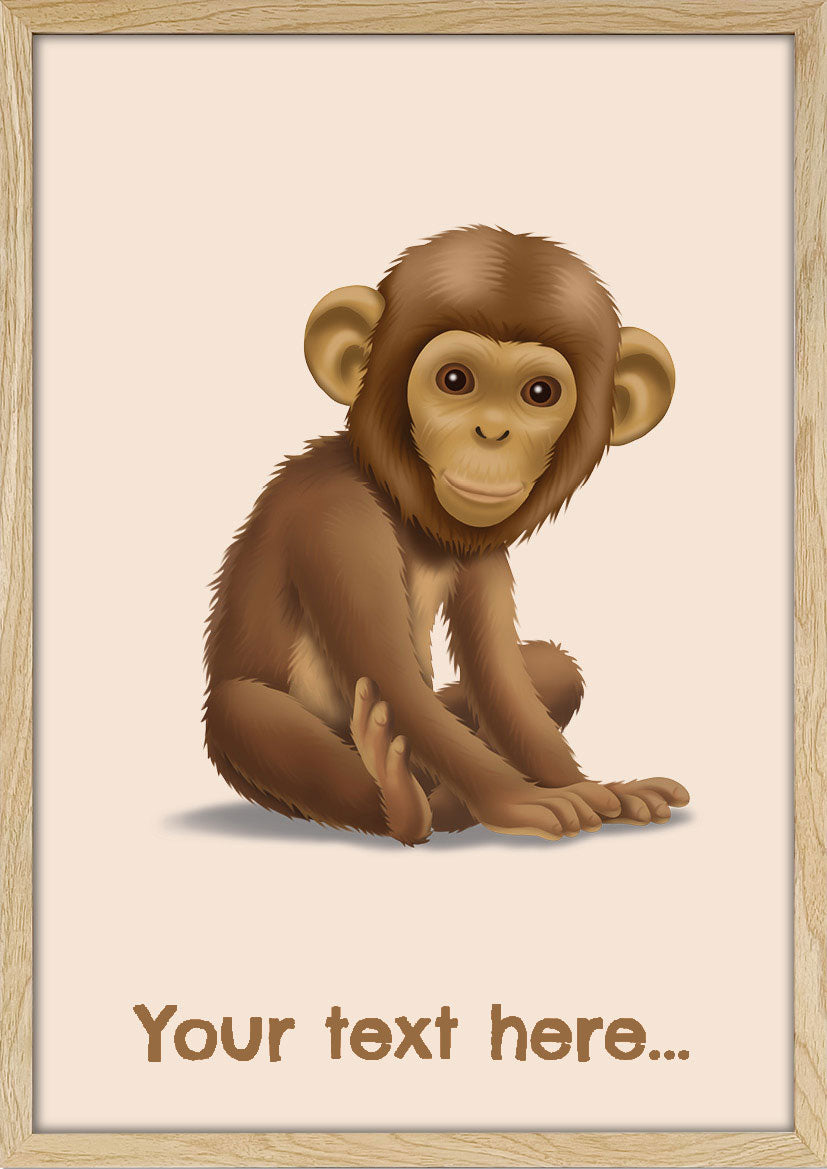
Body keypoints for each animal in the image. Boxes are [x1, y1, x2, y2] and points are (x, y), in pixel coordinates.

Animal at [203, 226, 689, 845]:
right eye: (454, 380)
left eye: (540, 393)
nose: (492, 432)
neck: (398, 498)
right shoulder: (337, 521)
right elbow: (391, 678)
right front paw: (517, 801)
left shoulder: (484, 555)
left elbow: (501, 679)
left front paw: (592, 787)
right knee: (248, 712)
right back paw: (402, 804)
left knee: (552, 669)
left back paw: (445, 803)